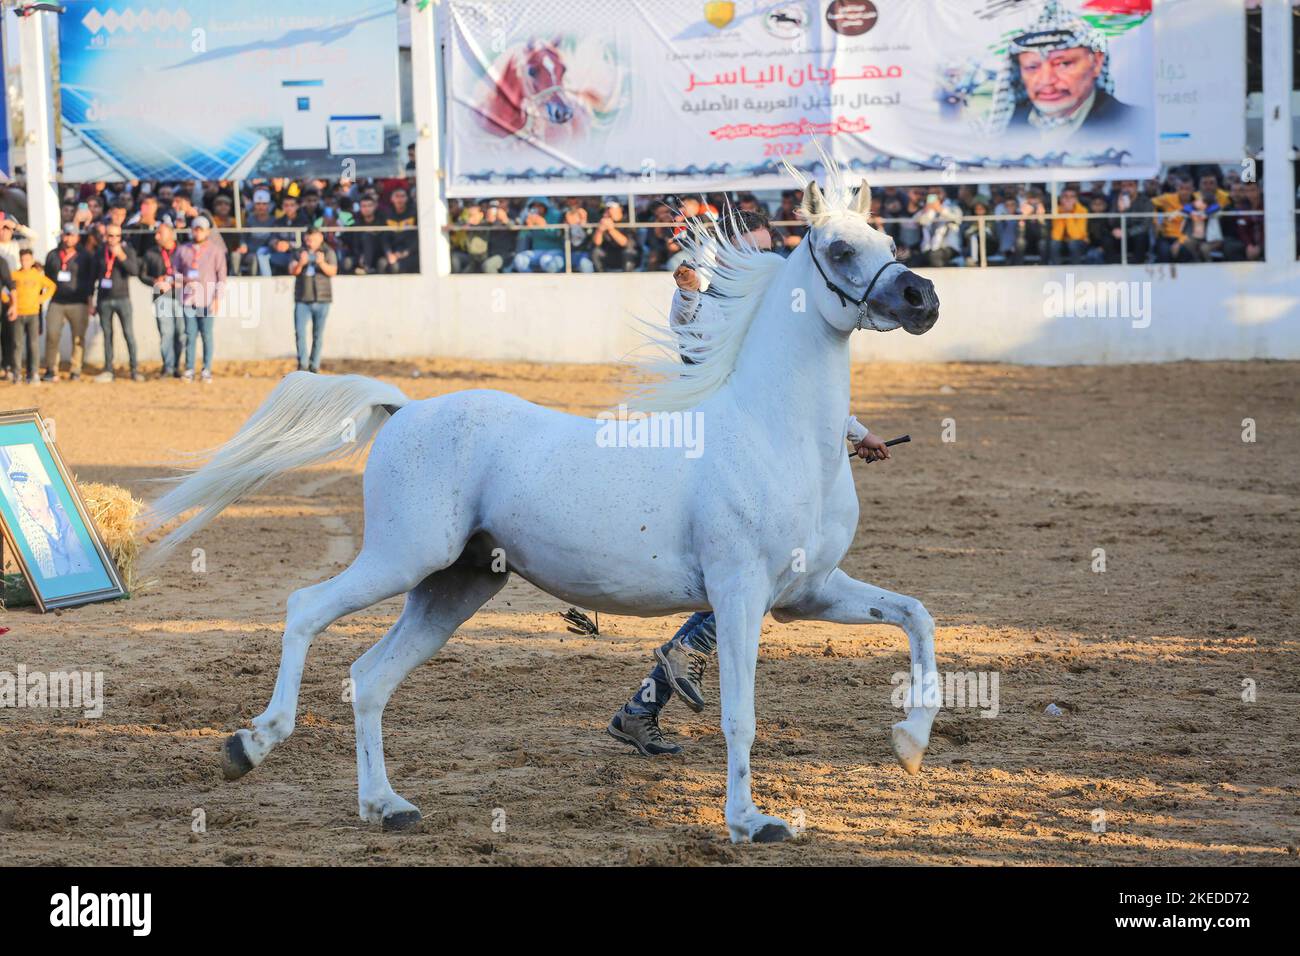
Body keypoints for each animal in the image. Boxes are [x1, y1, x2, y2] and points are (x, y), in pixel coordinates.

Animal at [144, 164, 942, 844]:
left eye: (889, 242)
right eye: (840, 248)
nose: (923, 299)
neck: (777, 433)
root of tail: (405, 407)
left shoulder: (807, 593)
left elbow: (916, 617)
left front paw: (908, 746)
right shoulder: (740, 593)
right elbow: (739, 717)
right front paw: (751, 822)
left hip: (457, 584)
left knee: (370, 678)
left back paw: (386, 807)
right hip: (405, 558)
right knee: (306, 609)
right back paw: (250, 745)